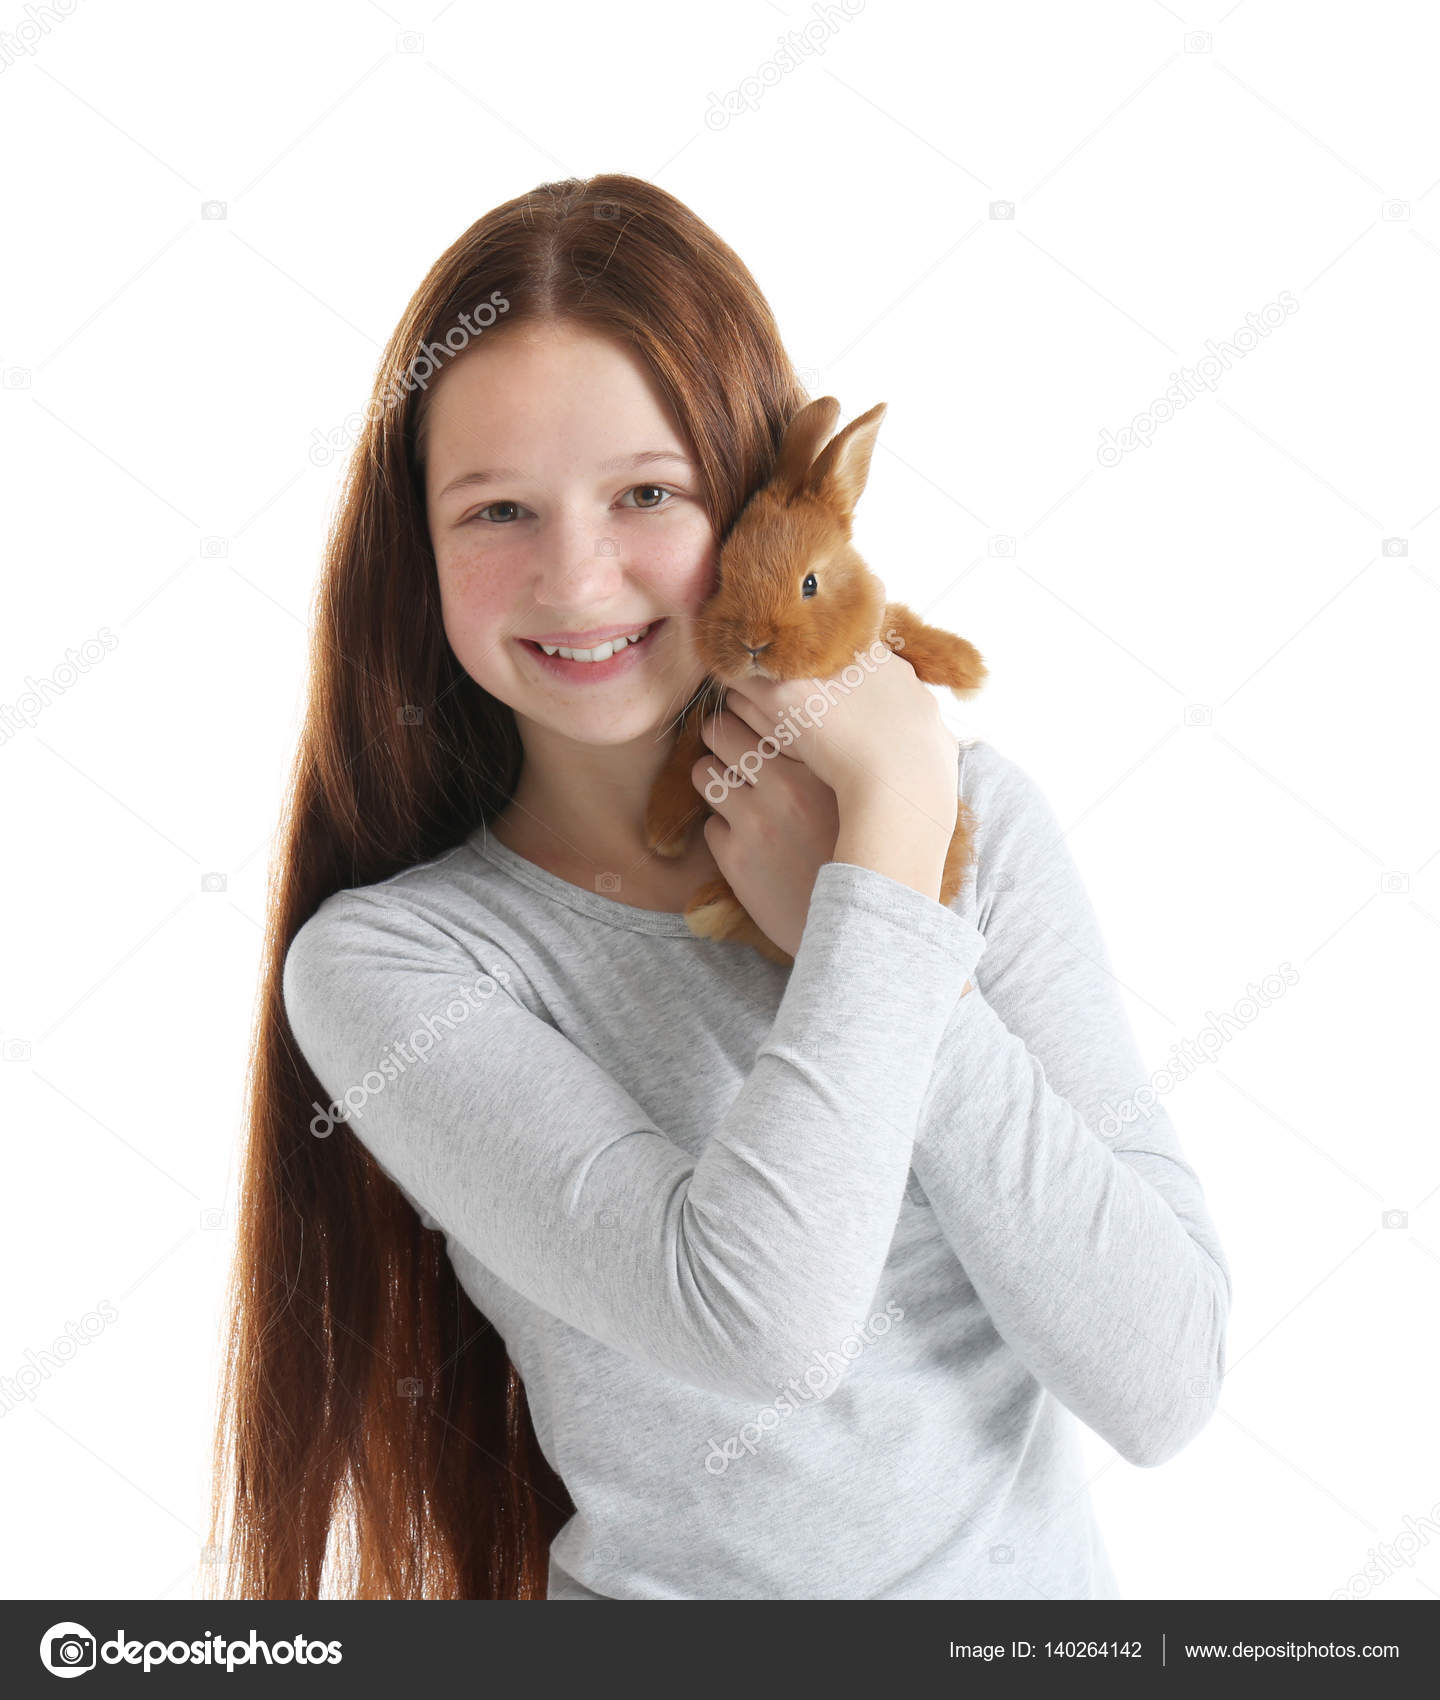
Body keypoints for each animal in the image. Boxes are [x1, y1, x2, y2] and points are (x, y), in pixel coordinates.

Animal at [644, 395, 988, 967]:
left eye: (810, 583)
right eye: (722, 576)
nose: (754, 643)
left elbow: (906, 629)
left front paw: (970, 668)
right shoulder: (712, 713)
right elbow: (685, 754)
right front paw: (660, 837)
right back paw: (711, 908)